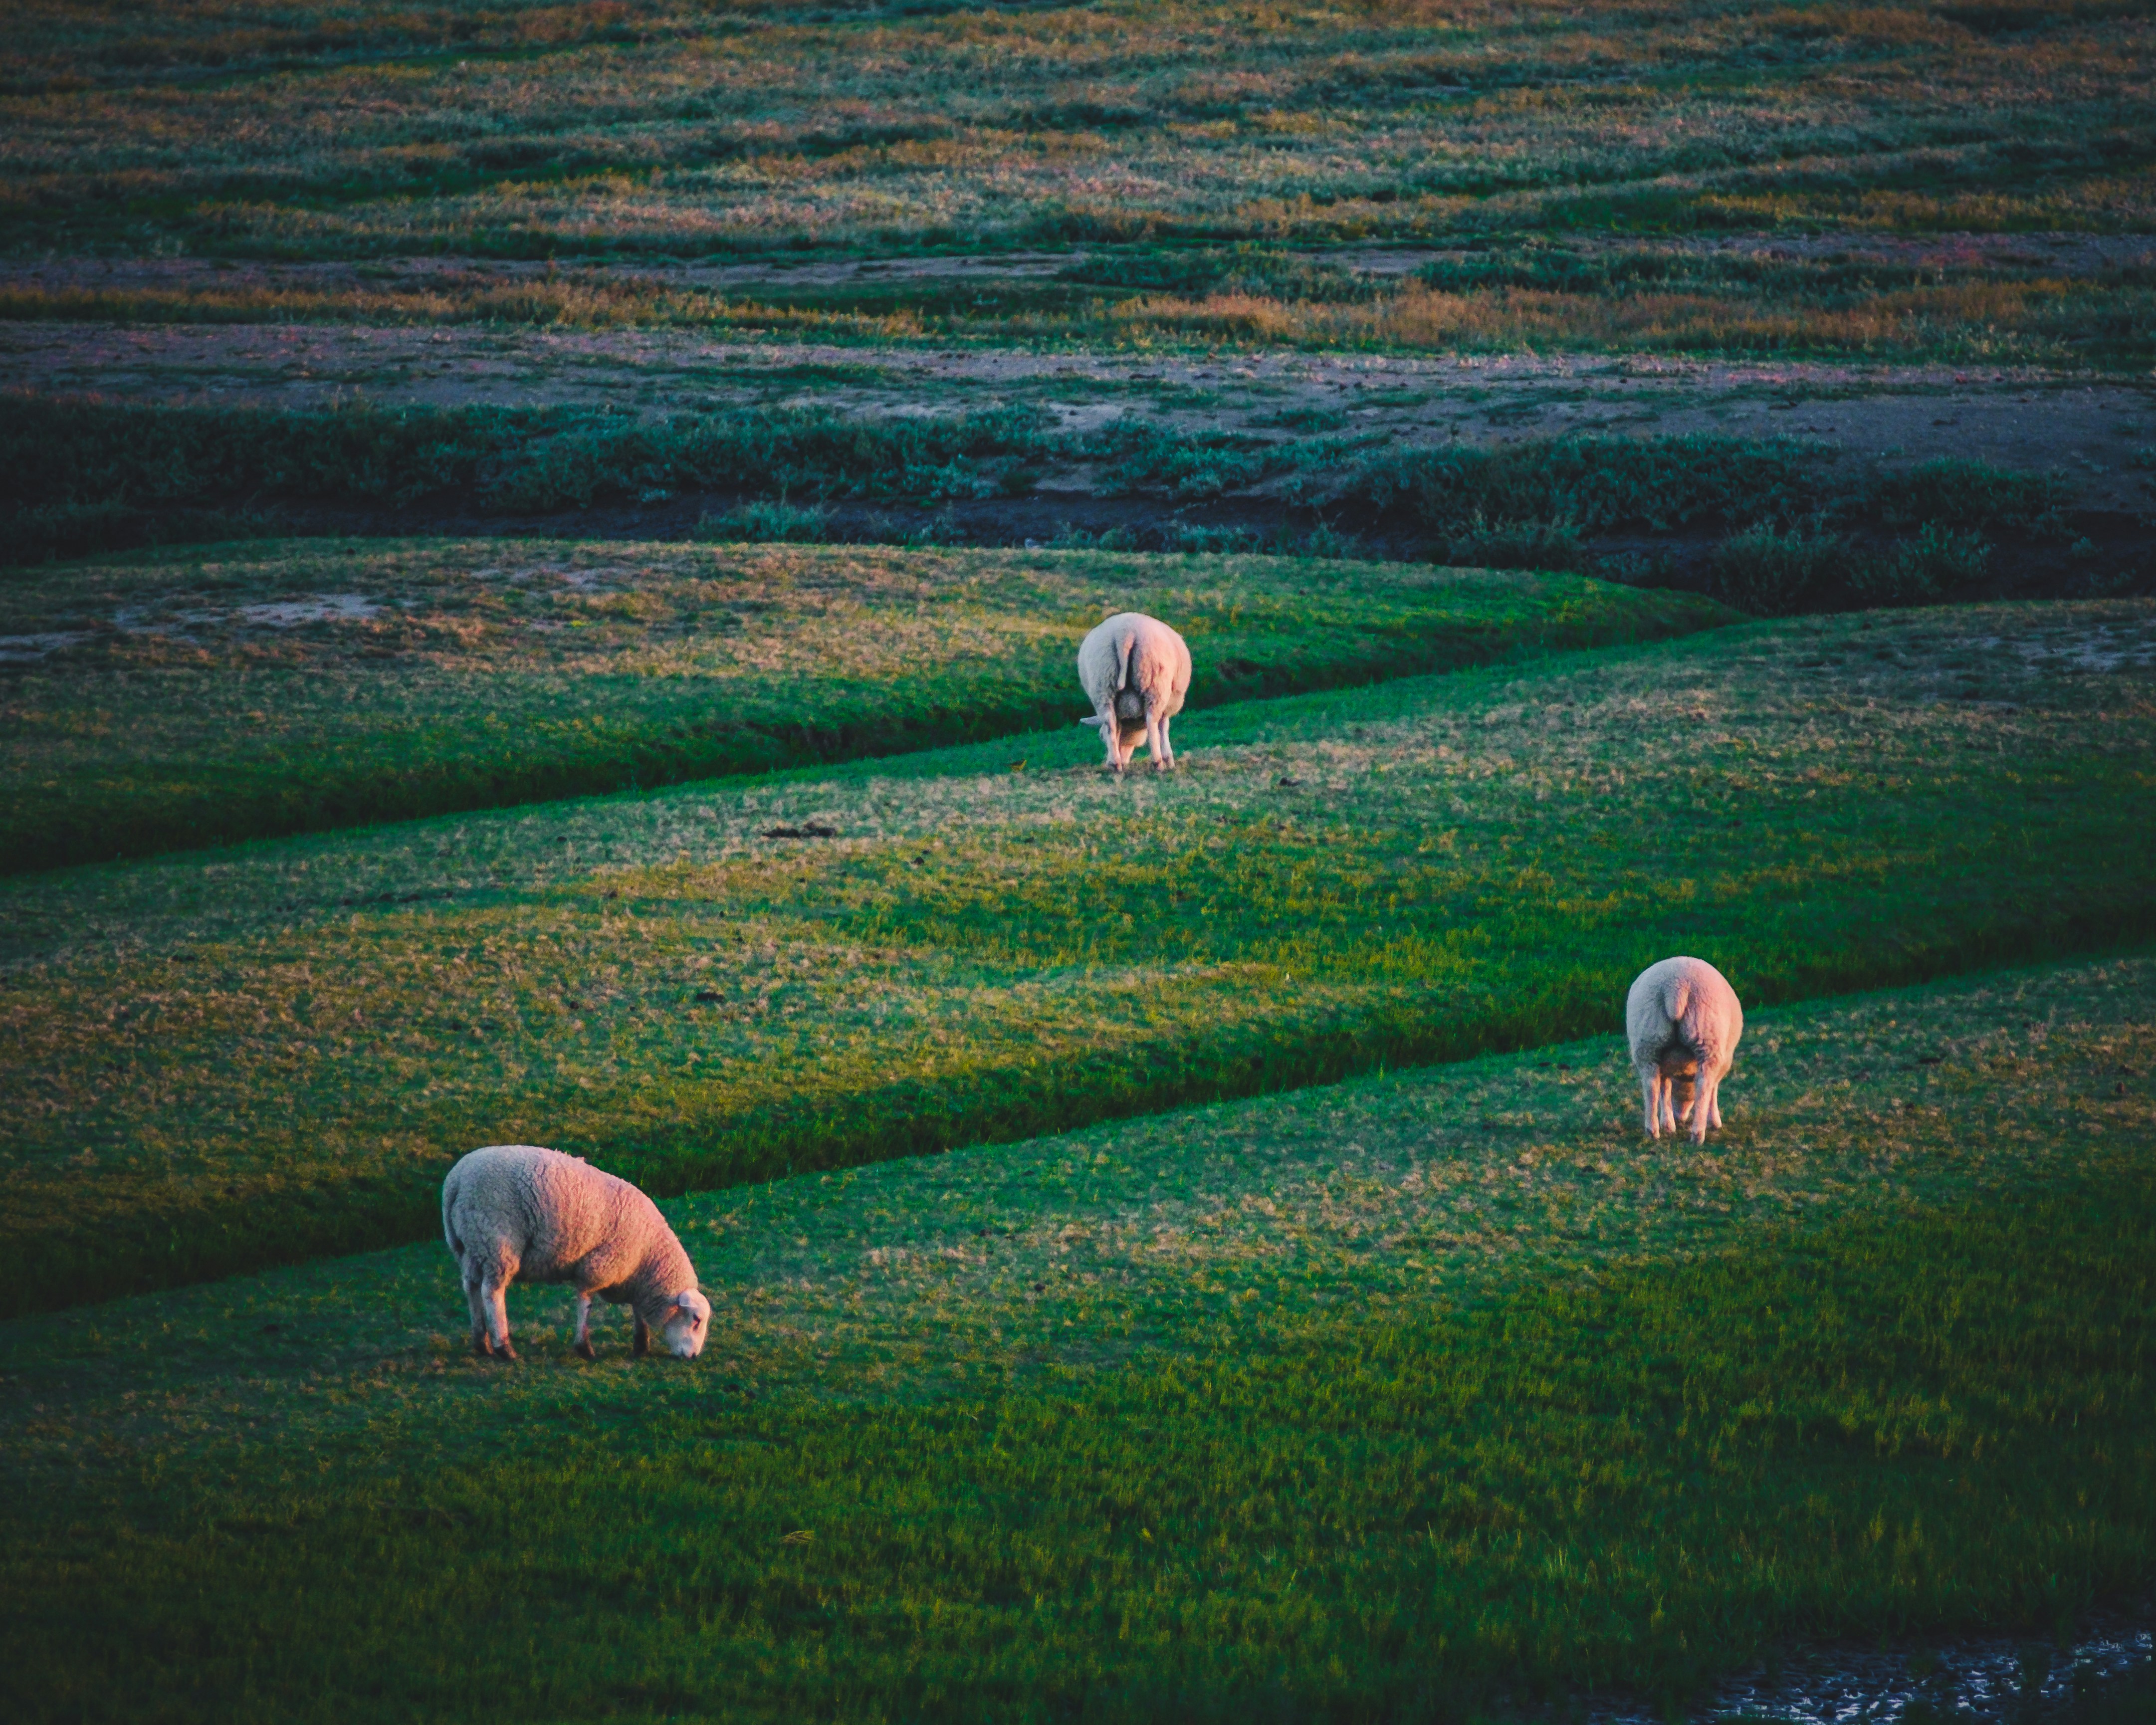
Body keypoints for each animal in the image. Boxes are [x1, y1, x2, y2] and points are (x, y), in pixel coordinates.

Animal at [441, 1144, 711, 1362]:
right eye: (696, 1320)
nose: (693, 1357)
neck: (648, 1256)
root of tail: (456, 1181)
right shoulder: (599, 1266)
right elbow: (586, 1302)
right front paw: (585, 1348)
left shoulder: (630, 1275)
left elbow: (636, 1310)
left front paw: (641, 1343)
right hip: (497, 1240)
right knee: (492, 1292)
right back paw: (504, 1348)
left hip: (469, 1245)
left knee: (471, 1287)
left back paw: (481, 1342)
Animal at [1077, 611, 1191, 772]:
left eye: (1101, 737)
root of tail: (1125, 634)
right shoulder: (1169, 704)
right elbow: (1164, 727)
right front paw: (1169, 759)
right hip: (1154, 682)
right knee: (1152, 722)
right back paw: (1157, 762)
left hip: (1103, 682)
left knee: (1110, 722)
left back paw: (1116, 764)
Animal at [1625, 956, 1744, 1143]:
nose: (1680, 1117)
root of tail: (1675, 986)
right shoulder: (1724, 1060)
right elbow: (1714, 1089)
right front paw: (1715, 1122)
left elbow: (1665, 1088)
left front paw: (1668, 1125)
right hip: (1708, 1041)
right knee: (1704, 1085)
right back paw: (1698, 1135)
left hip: (1648, 1041)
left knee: (1651, 1086)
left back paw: (1653, 1131)